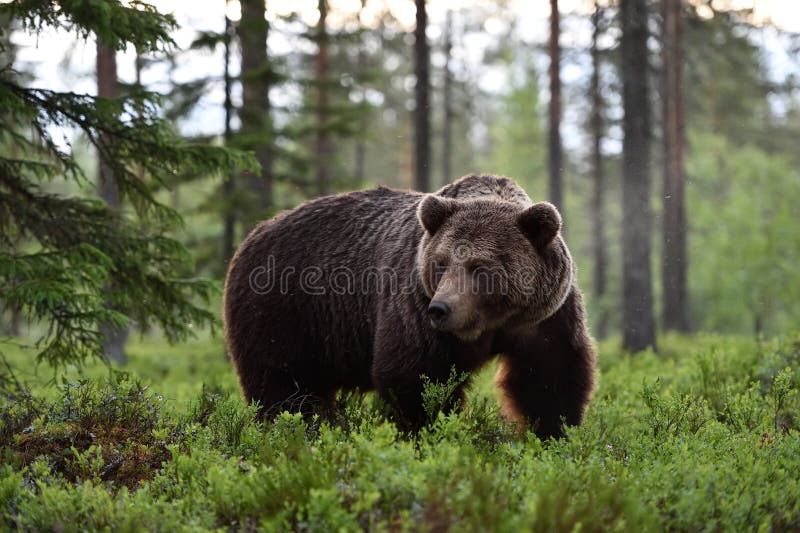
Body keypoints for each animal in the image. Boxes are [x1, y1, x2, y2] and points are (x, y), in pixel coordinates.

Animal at [223, 174, 597, 439]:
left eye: (480, 267)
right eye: (441, 263)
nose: (441, 308)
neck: (492, 323)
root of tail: (253, 235)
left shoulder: (544, 317)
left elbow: (550, 376)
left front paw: (552, 433)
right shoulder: (415, 306)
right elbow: (414, 376)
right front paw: (429, 430)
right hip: (282, 311)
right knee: (282, 382)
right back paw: (297, 426)